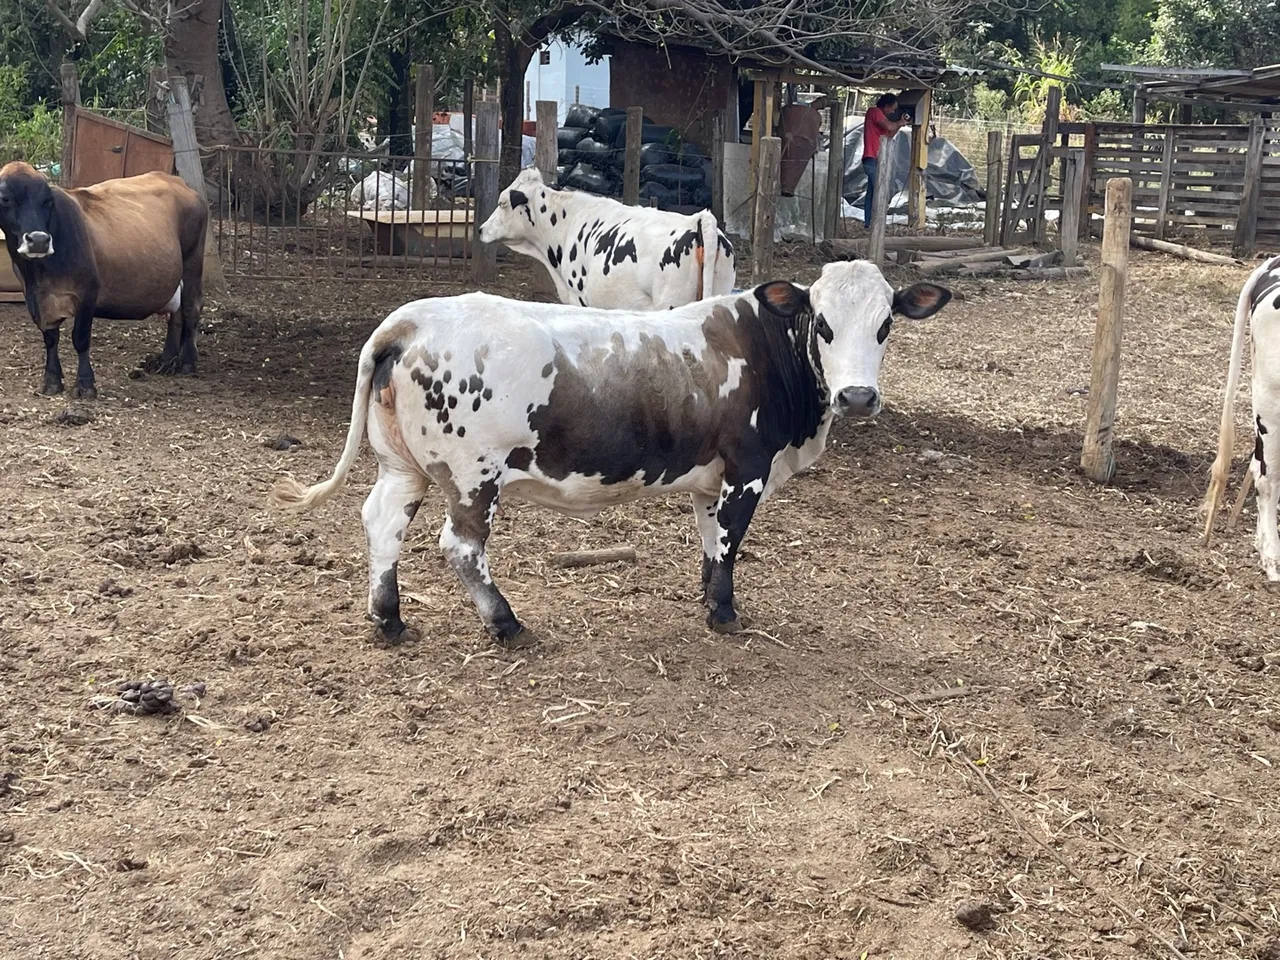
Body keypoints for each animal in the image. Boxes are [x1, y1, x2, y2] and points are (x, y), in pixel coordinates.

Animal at [0, 162, 207, 399]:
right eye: (5, 199)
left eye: (48, 201)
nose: (39, 240)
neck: (38, 273)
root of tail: (178, 182)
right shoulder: (36, 299)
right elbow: (50, 338)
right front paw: (51, 381)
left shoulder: (88, 293)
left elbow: (80, 339)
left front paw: (85, 384)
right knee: (176, 312)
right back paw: (167, 359)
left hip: (193, 263)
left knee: (191, 307)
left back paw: (187, 361)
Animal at [269, 260, 951, 647]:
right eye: (824, 324)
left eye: (886, 324)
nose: (858, 396)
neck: (765, 348)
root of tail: (411, 318)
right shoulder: (747, 470)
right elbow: (731, 542)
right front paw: (724, 614)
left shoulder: (709, 480)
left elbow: (710, 544)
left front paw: (708, 597)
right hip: (472, 476)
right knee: (460, 547)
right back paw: (506, 624)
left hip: (403, 466)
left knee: (381, 522)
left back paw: (387, 619)